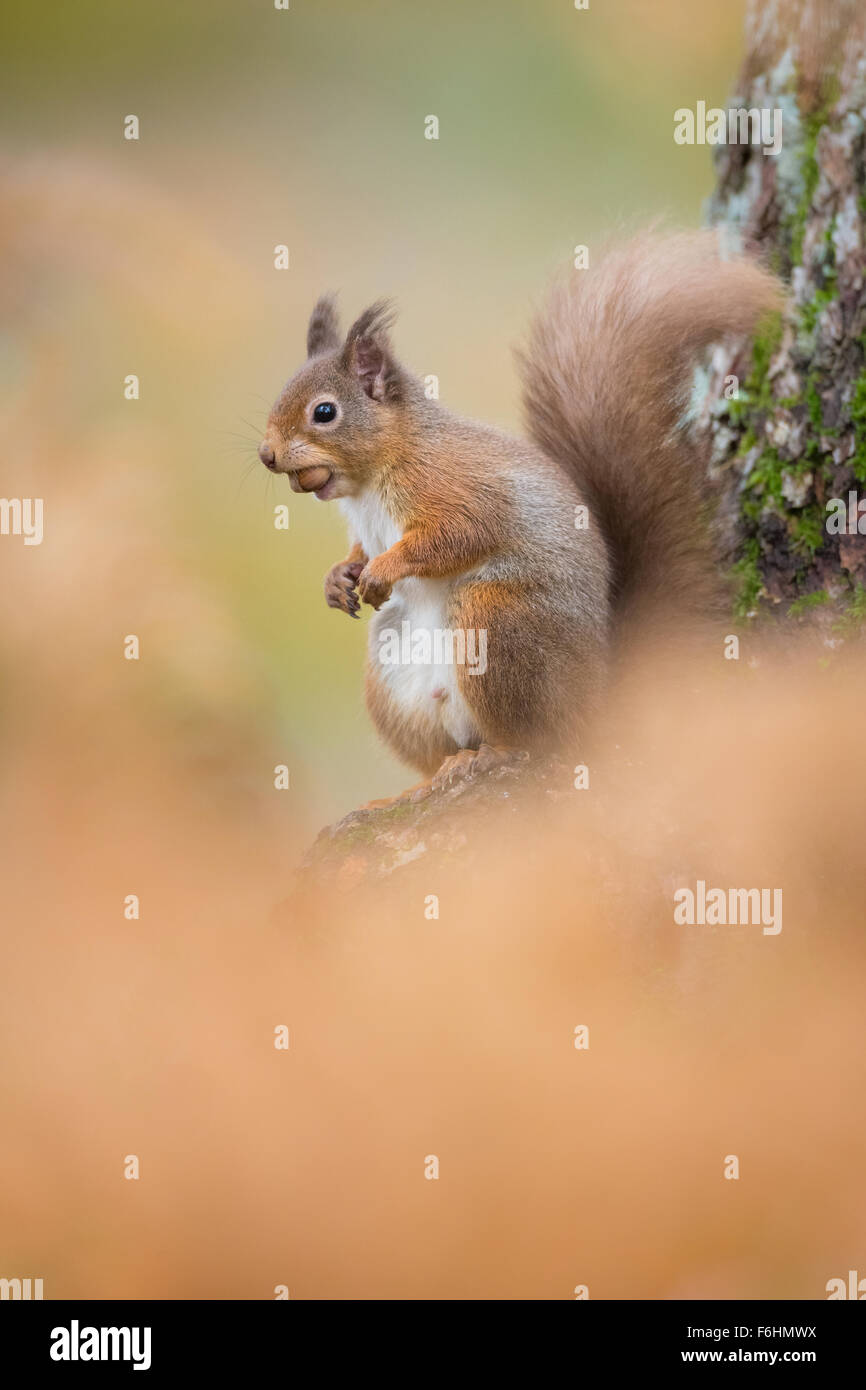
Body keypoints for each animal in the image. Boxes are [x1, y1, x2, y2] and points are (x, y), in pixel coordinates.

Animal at [258, 232, 780, 796]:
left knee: (537, 738)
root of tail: (599, 695)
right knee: (441, 747)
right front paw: (338, 578)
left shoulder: (455, 488)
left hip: (496, 619)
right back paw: (423, 781)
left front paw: (382, 570)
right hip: (394, 667)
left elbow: (454, 536)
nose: (266, 455)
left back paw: (497, 753)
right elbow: (356, 551)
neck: (372, 482)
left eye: (324, 412)